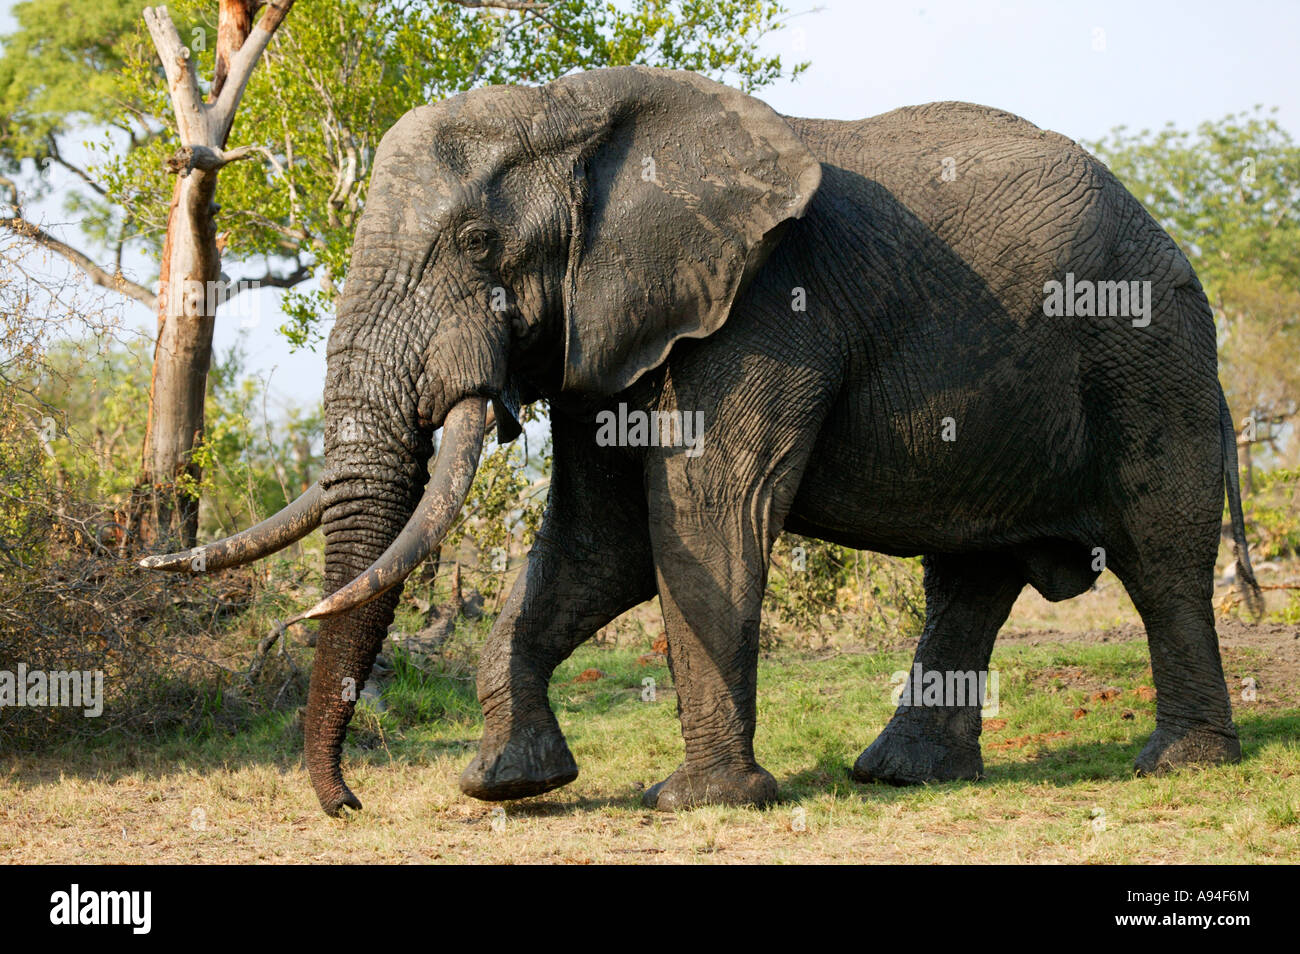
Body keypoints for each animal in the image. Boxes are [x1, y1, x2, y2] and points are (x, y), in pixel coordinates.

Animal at [143, 66, 1263, 815]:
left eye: (476, 243)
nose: (349, 806)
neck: (579, 117)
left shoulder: (762, 308)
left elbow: (705, 517)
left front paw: (701, 803)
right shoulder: (611, 329)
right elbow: (598, 547)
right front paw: (506, 786)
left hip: (1151, 354)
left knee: (1160, 551)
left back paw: (1181, 766)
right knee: (971, 577)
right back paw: (899, 776)